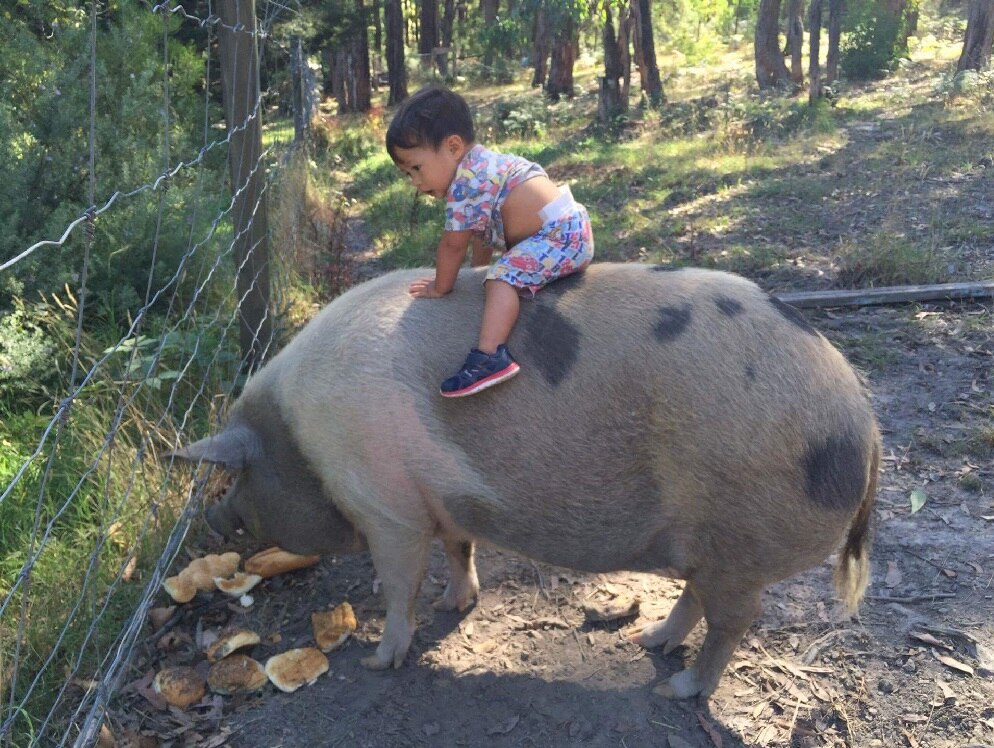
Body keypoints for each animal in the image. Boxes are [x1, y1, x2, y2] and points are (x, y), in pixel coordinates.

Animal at [173, 263, 880, 699]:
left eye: (234, 478)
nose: (212, 518)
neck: (300, 438)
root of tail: (864, 424)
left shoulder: (388, 508)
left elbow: (399, 584)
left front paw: (379, 660)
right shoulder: (444, 503)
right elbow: (459, 549)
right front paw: (453, 606)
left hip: (740, 542)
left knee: (735, 619)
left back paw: (676, 688)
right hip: (712, 548)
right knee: (697, 600)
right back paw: (649, 640)